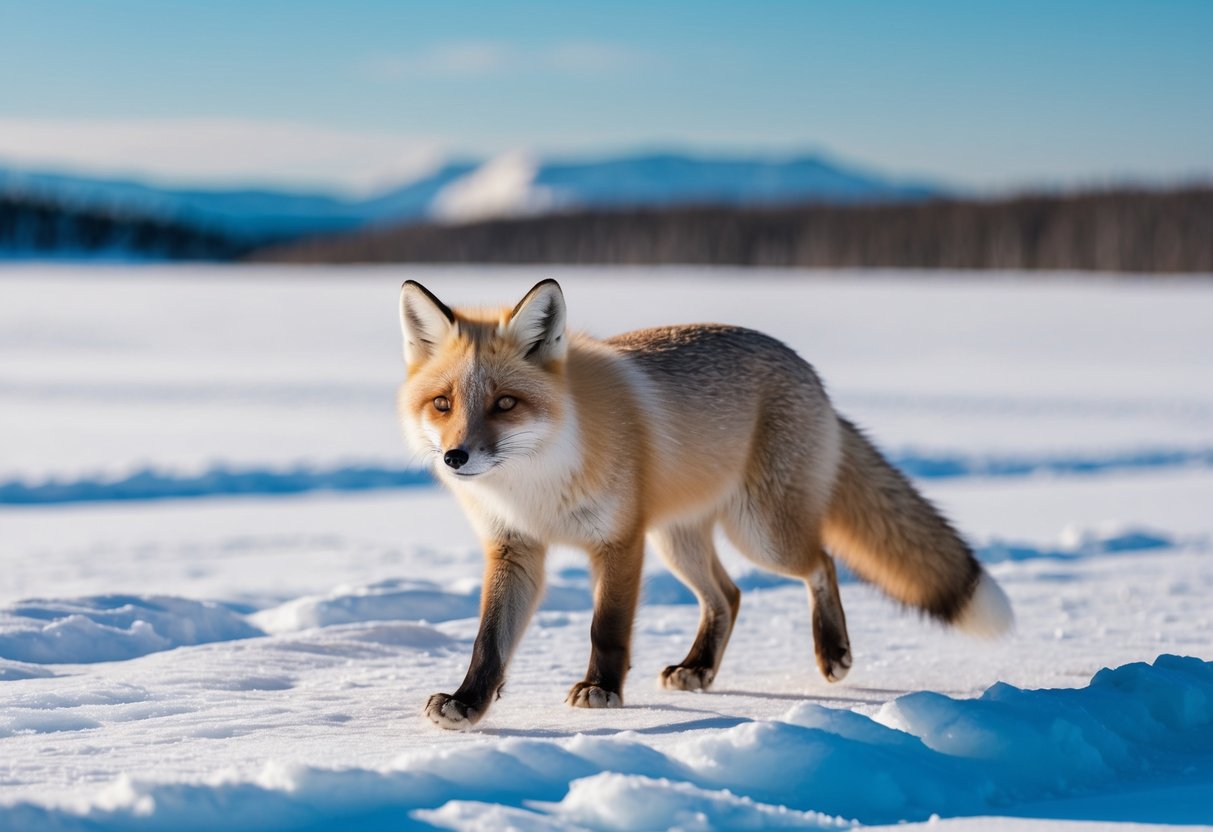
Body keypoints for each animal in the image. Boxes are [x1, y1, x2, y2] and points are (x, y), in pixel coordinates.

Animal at [397, 278, 1013, 730]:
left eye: (505, 403)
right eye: (443, 403)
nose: (456, 457)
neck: (537, 484)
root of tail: (810, 373)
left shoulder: (620, 541)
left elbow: (607, 628)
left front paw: (602, 689)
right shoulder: (515, 549)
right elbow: (488, 641)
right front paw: (469, 702)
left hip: (761, 534)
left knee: (820, 562)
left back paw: (833, 651)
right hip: (679, 542)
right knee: (729, 596)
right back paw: (698, 668)